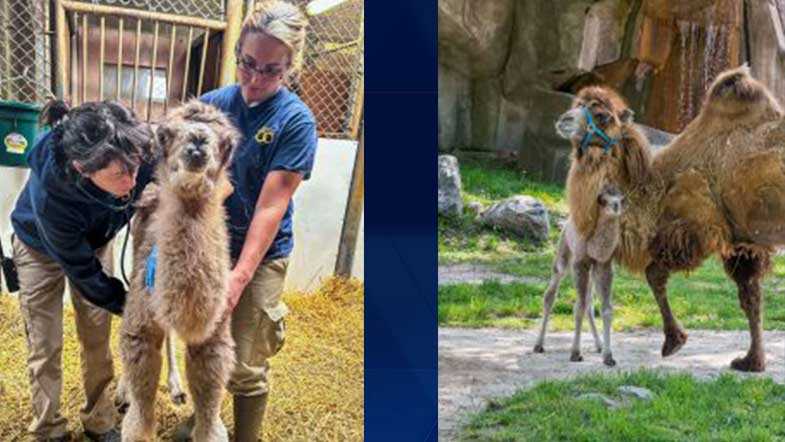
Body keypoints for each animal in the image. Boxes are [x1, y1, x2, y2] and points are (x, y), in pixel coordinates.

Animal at [120, 100, 238, 441]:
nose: (198, 141)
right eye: (165, 134)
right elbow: (139, 415)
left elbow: (210, 397)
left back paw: (176, 388)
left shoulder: (216, 331)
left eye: (227, 143)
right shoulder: (139, 322)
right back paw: (123, 392)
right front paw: (133, 407)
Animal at [534, 184, 625, 366]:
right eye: (602, 200)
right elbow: (578, 307)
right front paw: (575, 353)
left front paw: (608, 356)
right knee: (550, 294)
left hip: (591, 273)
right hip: (563, 253)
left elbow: (606, 308)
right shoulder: (579, 263)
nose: (616, 206)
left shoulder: (604, 266)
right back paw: (538, 345)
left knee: (589, 302)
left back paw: (599, 345)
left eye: (621, 198)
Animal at [554, 65, 785, 372]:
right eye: (576, 105)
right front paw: (752, 361)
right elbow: (751, 297)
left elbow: (654, 273)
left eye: (603, 115)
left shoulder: (698, 229)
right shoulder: (742, 241)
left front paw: (674, 342)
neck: (657, 189)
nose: (564, 120)